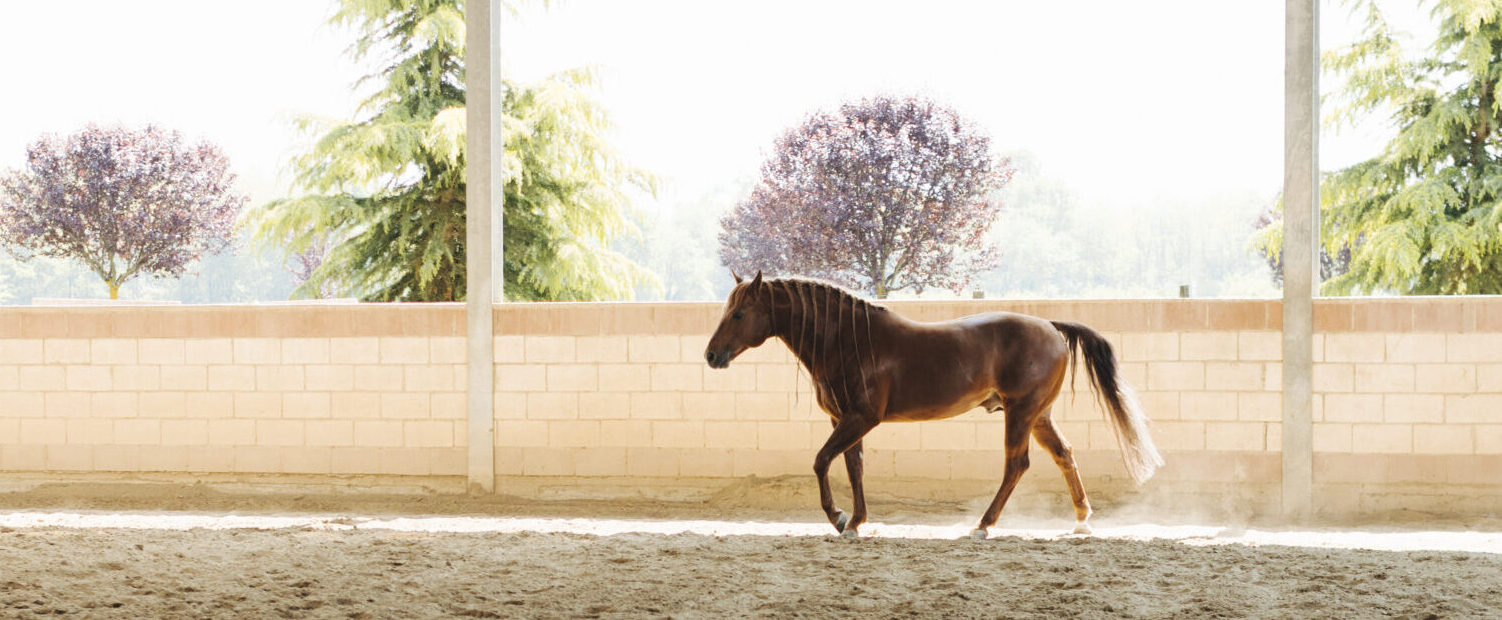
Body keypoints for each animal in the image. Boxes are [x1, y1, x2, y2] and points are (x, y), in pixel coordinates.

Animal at [704, 271, 1163, 539]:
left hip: (1020, 413)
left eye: (740, 314)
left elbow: (820, 461)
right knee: (1064, 455)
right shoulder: (845, 420)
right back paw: (1082, 519)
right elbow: (853, 467)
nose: (711, 356)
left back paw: (983, 526)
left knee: (1017, 465)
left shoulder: (860, 418)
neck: (850, 341)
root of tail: (1050, 326)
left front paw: (838, 517)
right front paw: (857, 522)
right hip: (1039, 416)